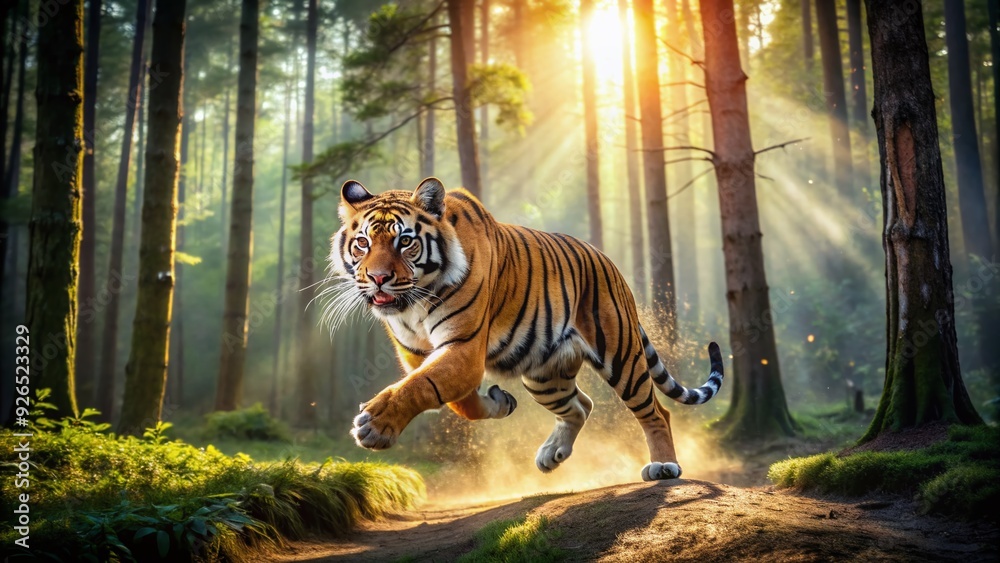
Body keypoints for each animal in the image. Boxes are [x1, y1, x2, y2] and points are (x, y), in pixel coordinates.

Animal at [326, 177, 724, 481]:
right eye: (363, 243)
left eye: (405, 241)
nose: (378, 278)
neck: (413, 307)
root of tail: (609, 263)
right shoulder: (419, 353)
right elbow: (456, 400)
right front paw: (498, 403)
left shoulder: (464, 346)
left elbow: (420, 386)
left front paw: (375, 425)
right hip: (545, 375)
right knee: (581, 404)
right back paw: (552, 454)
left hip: (621, 354)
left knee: (656, 412)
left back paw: (664, 466)